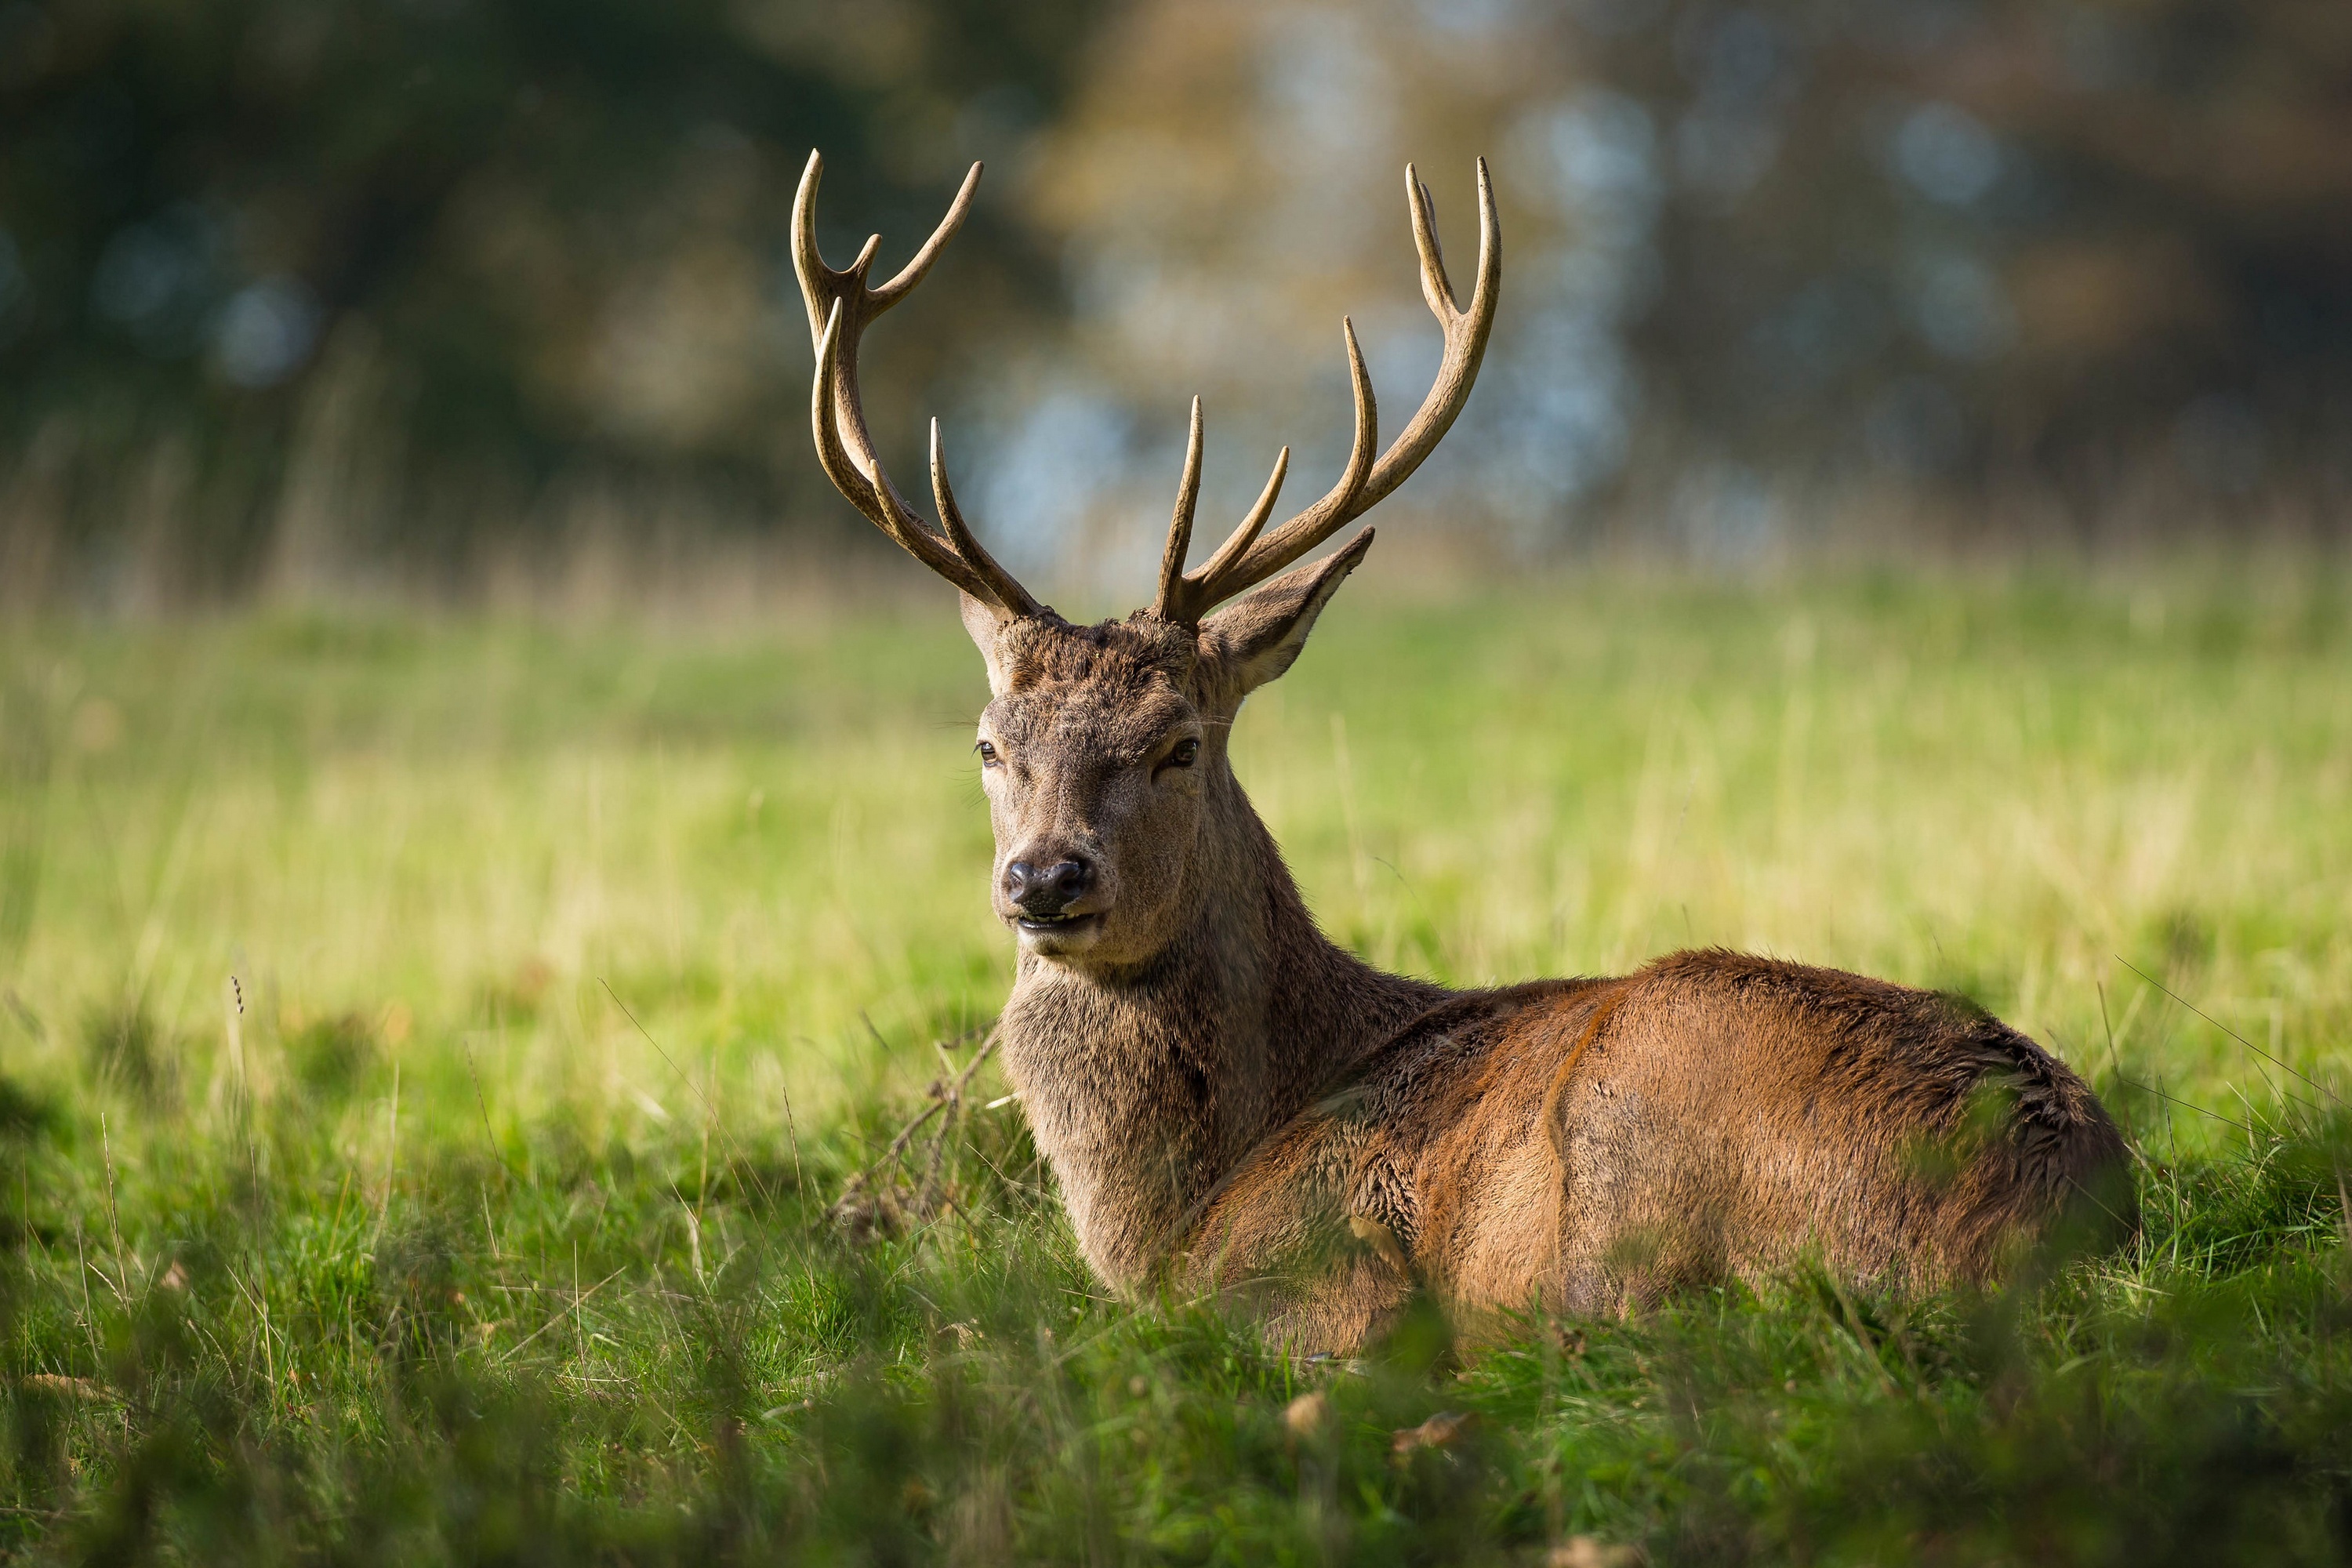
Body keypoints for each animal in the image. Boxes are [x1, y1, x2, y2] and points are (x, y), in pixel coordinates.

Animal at [790, 150, 2133, 1353]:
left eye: (1177, 745)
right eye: (988, 745)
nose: (1045, 877)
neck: (1188, 1205)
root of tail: (2069, 1209)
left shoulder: (1321, 1272)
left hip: (1632, 1144)